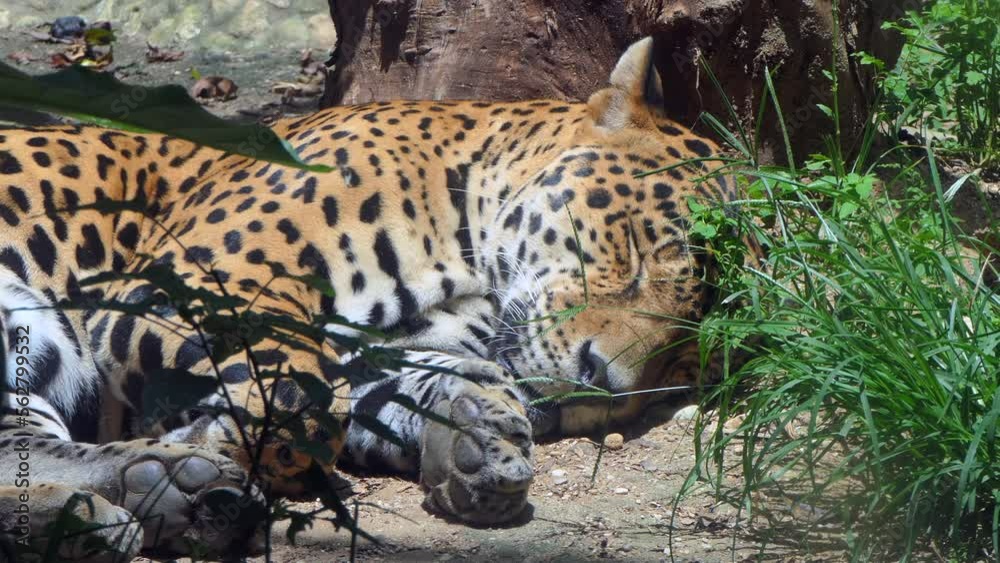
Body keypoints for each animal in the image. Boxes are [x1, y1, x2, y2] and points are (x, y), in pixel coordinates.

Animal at [0, 38, 736, 562]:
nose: (599, 382)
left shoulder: (381, 349)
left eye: (681, 360)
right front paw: (220, 436)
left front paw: (481, 431)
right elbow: (298, 396)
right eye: (637, 250)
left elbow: (390, 391)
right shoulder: (193, 275)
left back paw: (159, 491)